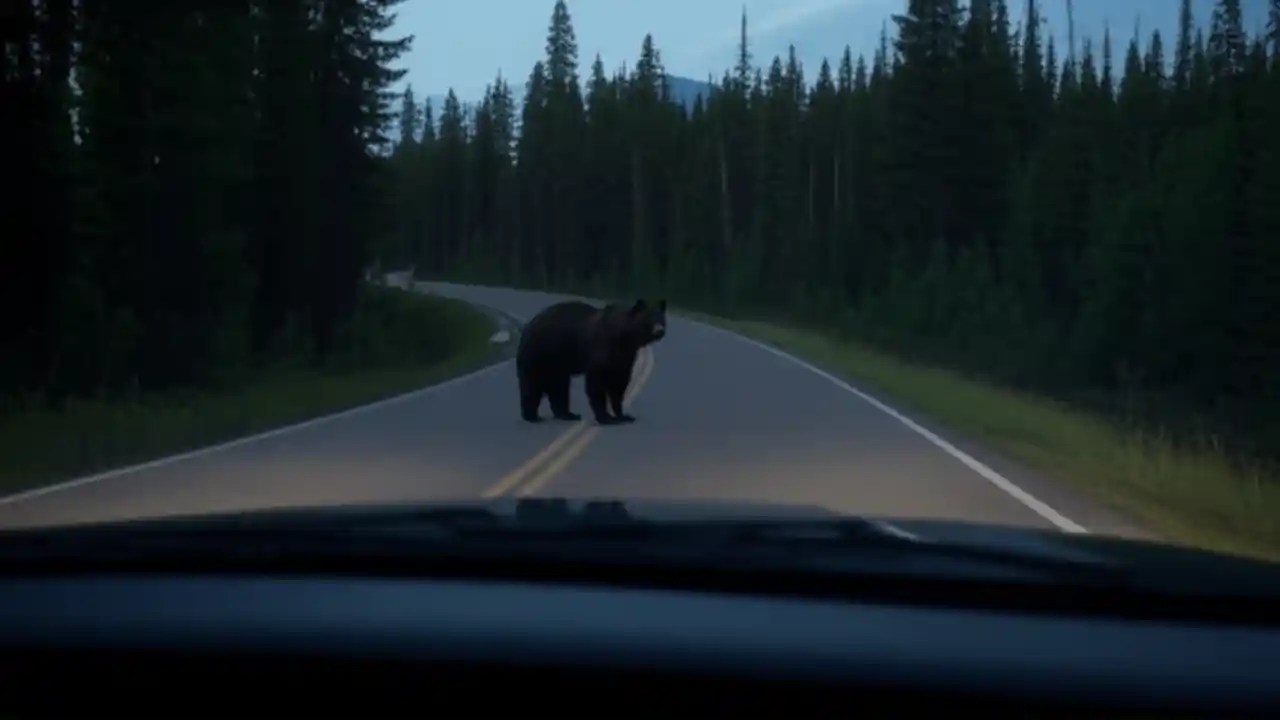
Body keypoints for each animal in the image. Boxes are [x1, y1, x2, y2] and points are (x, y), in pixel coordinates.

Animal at [516, 298, 667, 425]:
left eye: (661, 319)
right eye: (648, 319)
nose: (659, 331)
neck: (624, 338)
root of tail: (529, 325)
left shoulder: (624, 358)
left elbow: (619, 383)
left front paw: (624, 416)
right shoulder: (602, 348)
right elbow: (597, 383)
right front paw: (606, 417)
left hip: (556, 362)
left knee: (559, 386)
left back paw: (568, 414)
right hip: (540, 353)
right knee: (532, 384)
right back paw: (532, 416)